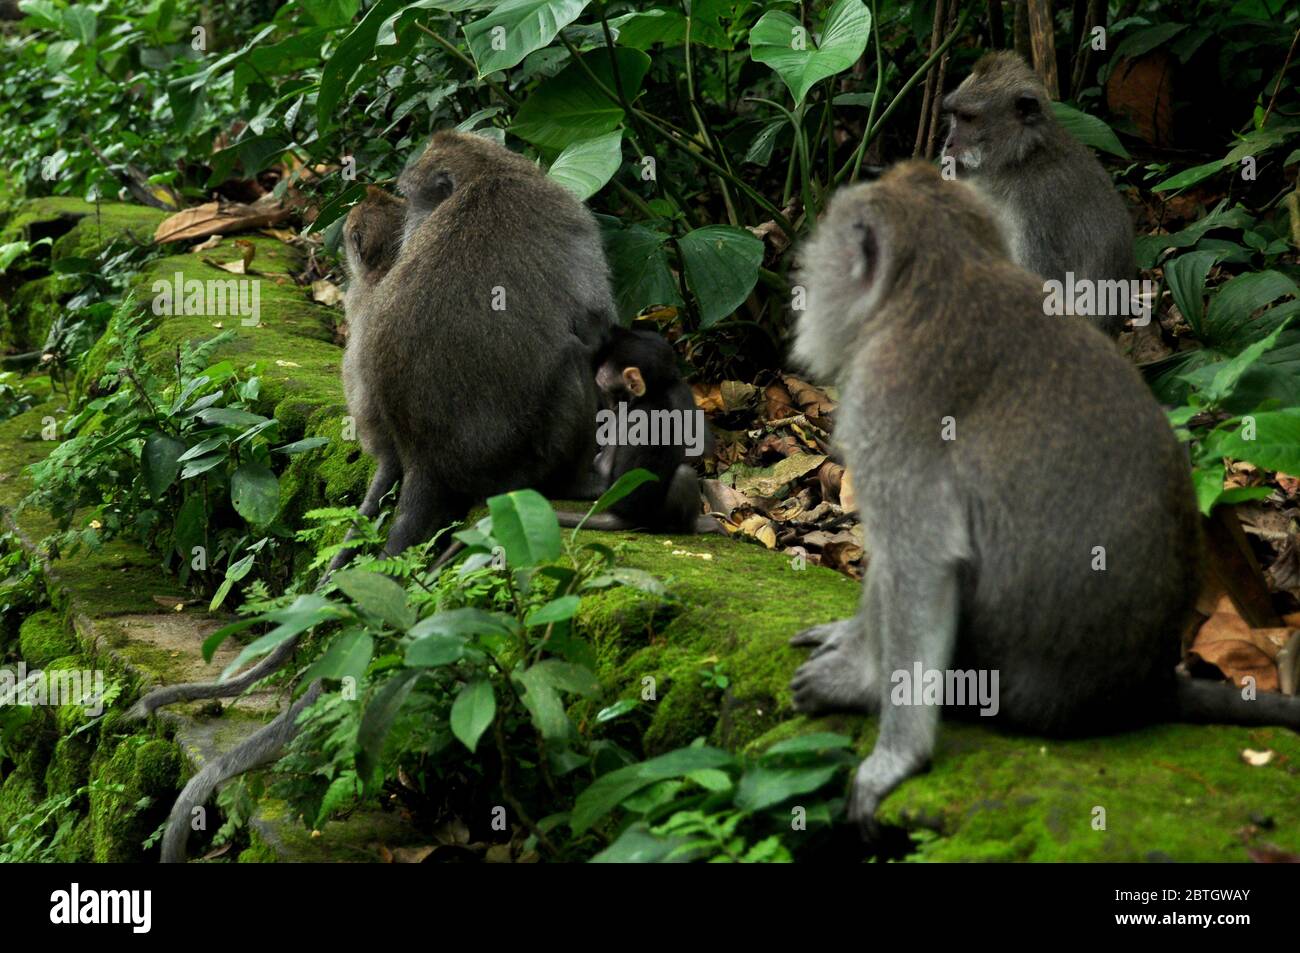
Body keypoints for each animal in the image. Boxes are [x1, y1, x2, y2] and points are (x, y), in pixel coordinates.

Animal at [786, 161, 1300, 841]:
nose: (806, 280)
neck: (948, 269)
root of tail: (1146, 686)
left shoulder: (883, 398)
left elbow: (923, 564)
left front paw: (890, 744)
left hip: (1000, 681)